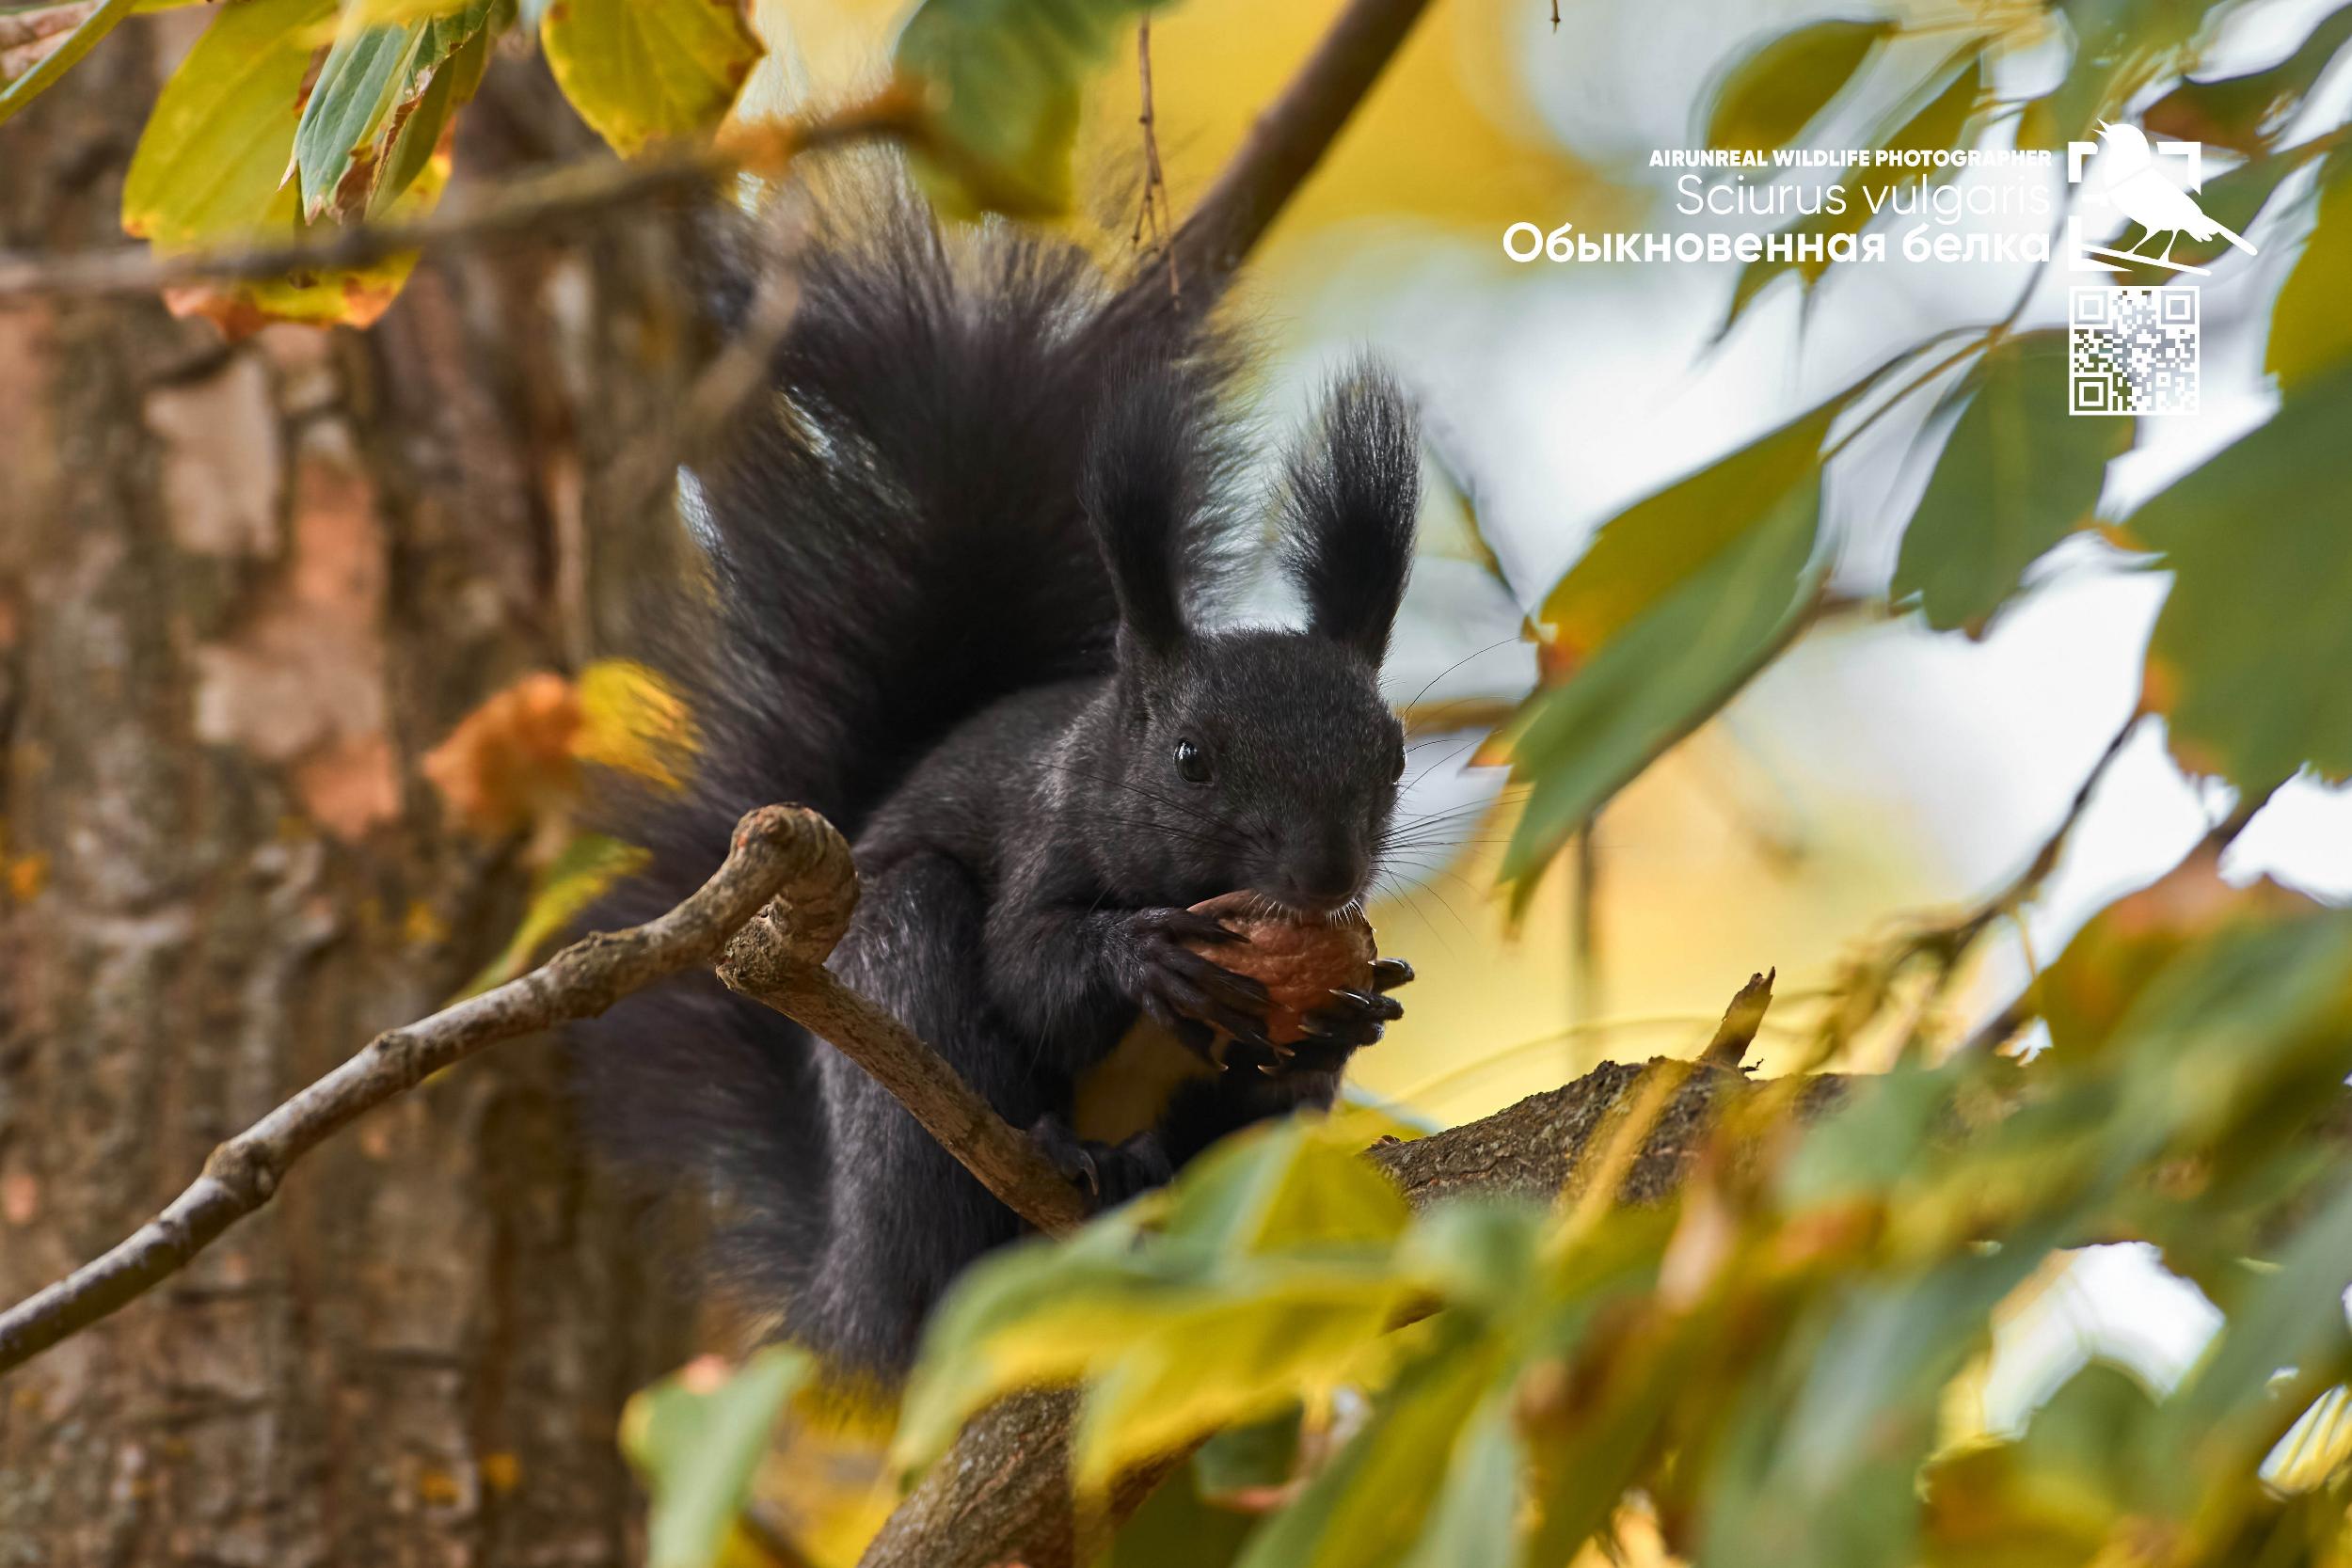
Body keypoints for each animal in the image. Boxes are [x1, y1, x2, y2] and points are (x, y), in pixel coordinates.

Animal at [570, 171, 1421, 1384]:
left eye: (1391, 755)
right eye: (1190, 758)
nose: (1326, 875)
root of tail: (854, 1284)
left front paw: (1353, 1005)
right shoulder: (1042, 833)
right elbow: (1030, 971)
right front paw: (1141, 953)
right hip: (905, 1006)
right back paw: (1061, 1161)